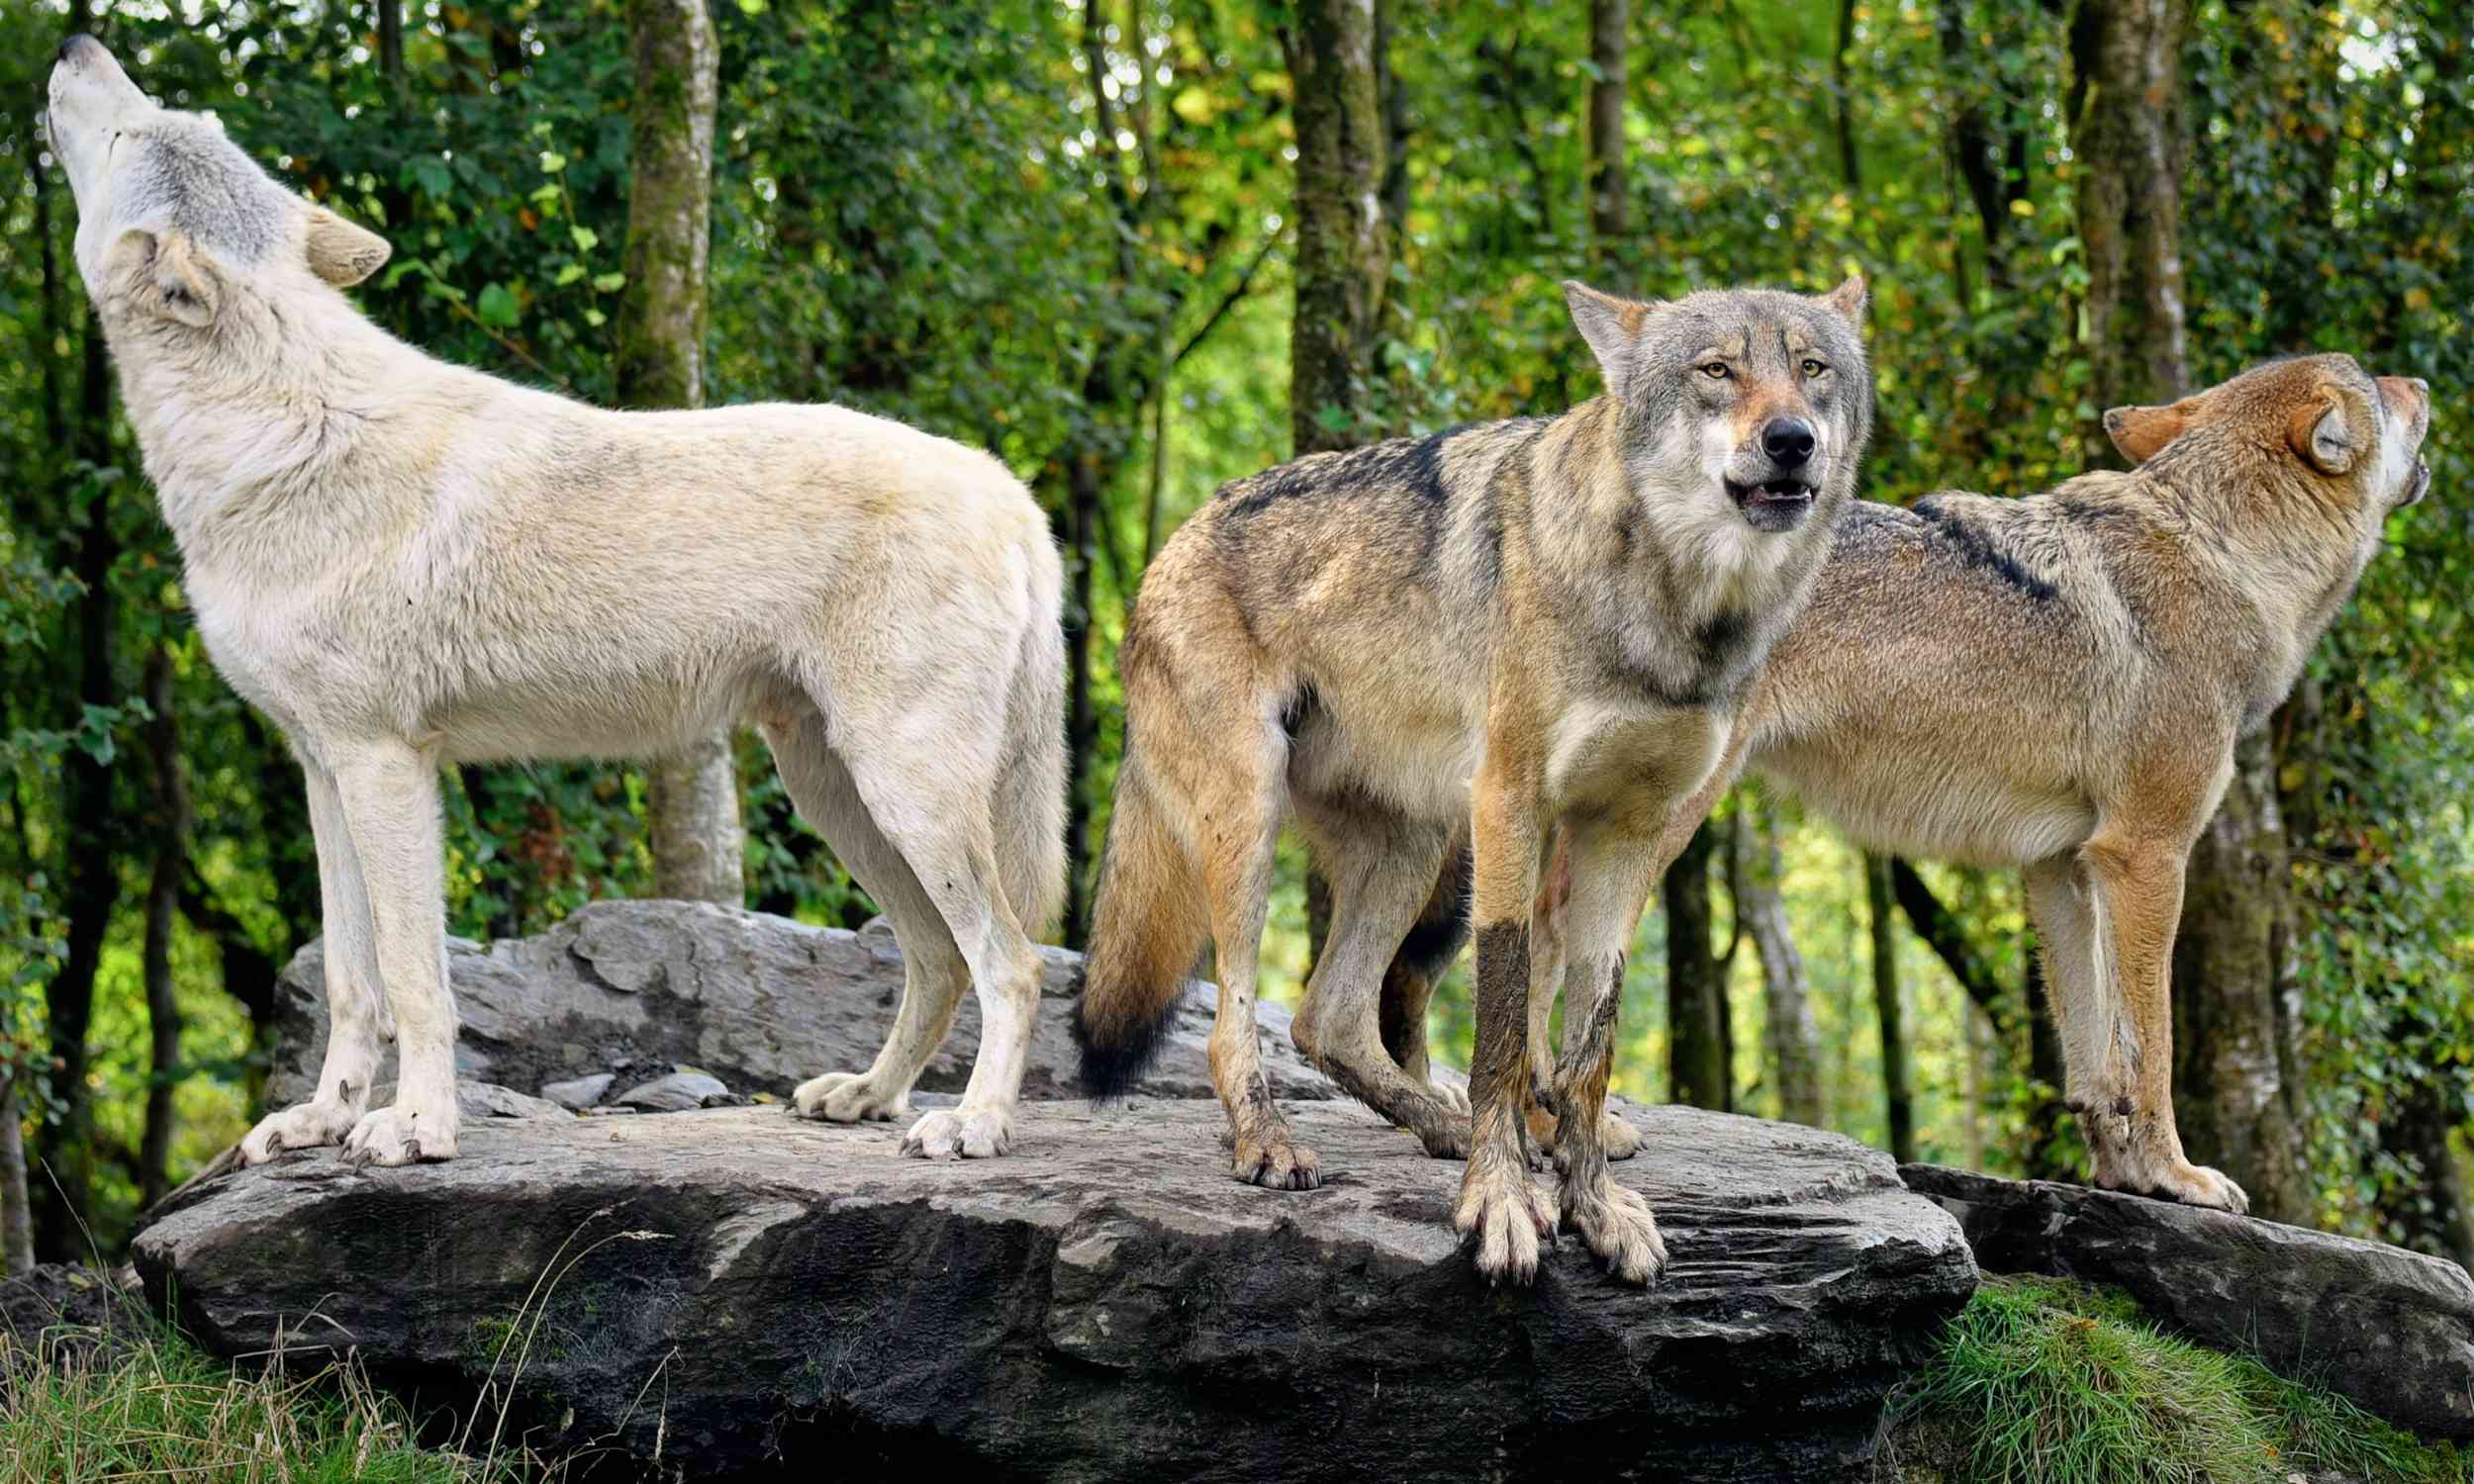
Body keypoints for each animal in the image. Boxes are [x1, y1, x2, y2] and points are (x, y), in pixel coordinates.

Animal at [47, 37, 1066, 1169]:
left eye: (136, 127)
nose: (75, 44)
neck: (276, 430)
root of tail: (1008, 486)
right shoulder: (323, 770)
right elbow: (356, 985)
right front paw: (324, 1120)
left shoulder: (385, 768)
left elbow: (416, 982)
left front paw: (416, 1129)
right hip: (835, 794)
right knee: (938, 960)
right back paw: (869, 1097)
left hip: (903, 795)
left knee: (1011, 962)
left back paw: (972, 1125)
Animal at [1072, 273, 1872, 1286]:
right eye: (1717, 371)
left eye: (1811, 368)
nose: (1791, 440)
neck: (1675, 611)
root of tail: (1168, 548)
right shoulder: (1510, 805)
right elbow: (1504, 1019)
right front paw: (1502, 1200)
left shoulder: (1629, 833)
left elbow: (1589, 1043)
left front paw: (1591, 1203)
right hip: (1255, 828)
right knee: (1238, 1021)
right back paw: (1272, 1143)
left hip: (1412, 855)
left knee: (1327, 1020)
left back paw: (1440, 1126)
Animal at [1390, 353, 2432, 1217]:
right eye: (2377, 384)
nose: (2425, 380)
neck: (2223, 555)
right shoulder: (2148, 857)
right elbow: (2154, 1048)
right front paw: (2179, 1177)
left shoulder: (2063, 869)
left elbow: (2094, 1061)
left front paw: (2123, 1178)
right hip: (1662, 814)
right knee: (1546, 937)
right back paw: (1554, 1123)